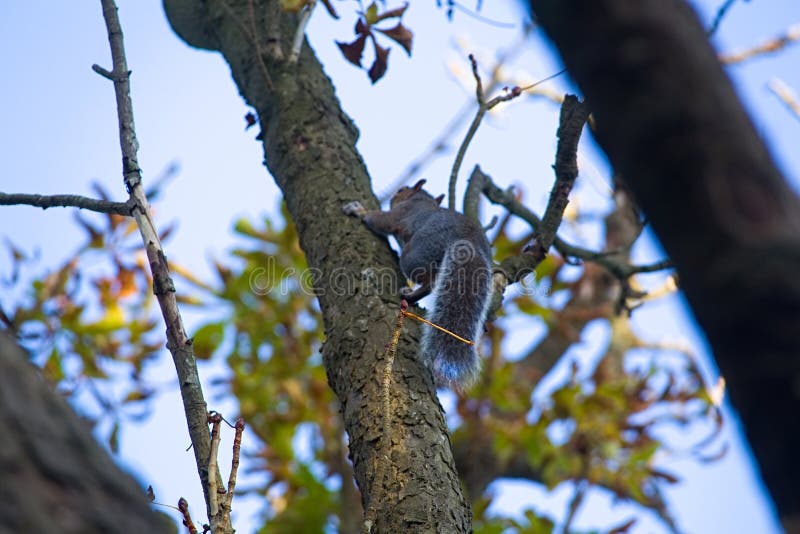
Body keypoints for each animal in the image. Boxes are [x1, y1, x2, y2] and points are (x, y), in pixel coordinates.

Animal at [343, 179, 492, 388]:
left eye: (400, 190)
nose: (393, 196)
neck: (421, 199)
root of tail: (469, 242)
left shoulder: (400, 214)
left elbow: (381, 220)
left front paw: (359, 210)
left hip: (413, 256)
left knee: (429, 282)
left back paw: (410, 294)